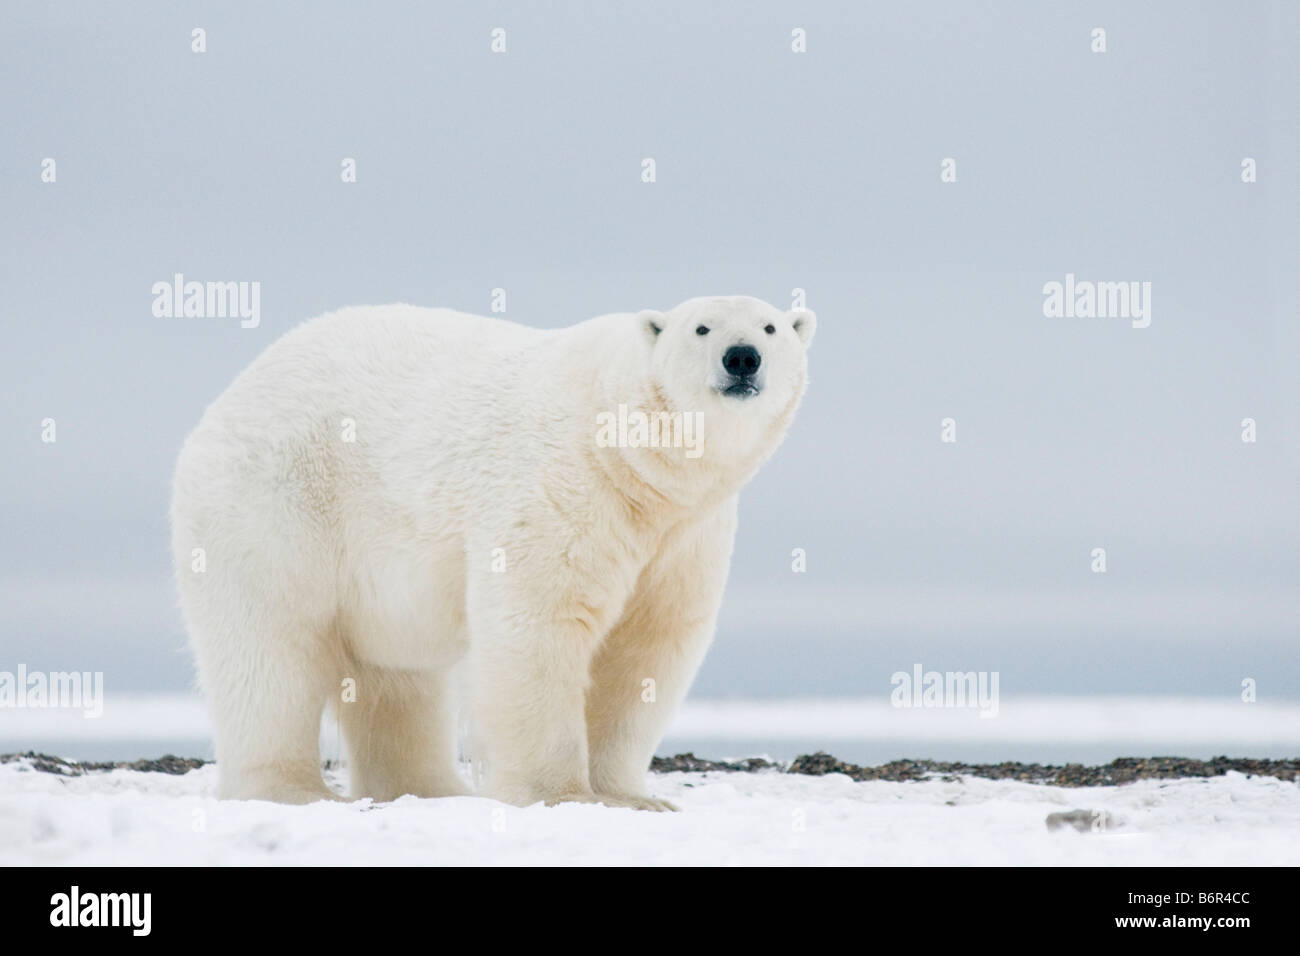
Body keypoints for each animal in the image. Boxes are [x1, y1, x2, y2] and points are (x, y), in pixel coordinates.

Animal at [170, 295, 815, 808]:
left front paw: (632, 797)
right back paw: (292, 789)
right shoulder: (563, 485)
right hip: (277, 504)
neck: (633, 458)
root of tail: (229, 397)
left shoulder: (685, 533)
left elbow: (648, 644)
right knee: (269, 647)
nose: (742, 357)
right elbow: (539, 622)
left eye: (770, 327)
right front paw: (561, 795)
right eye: (701, 328)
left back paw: (432, 788)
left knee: (398, 677)